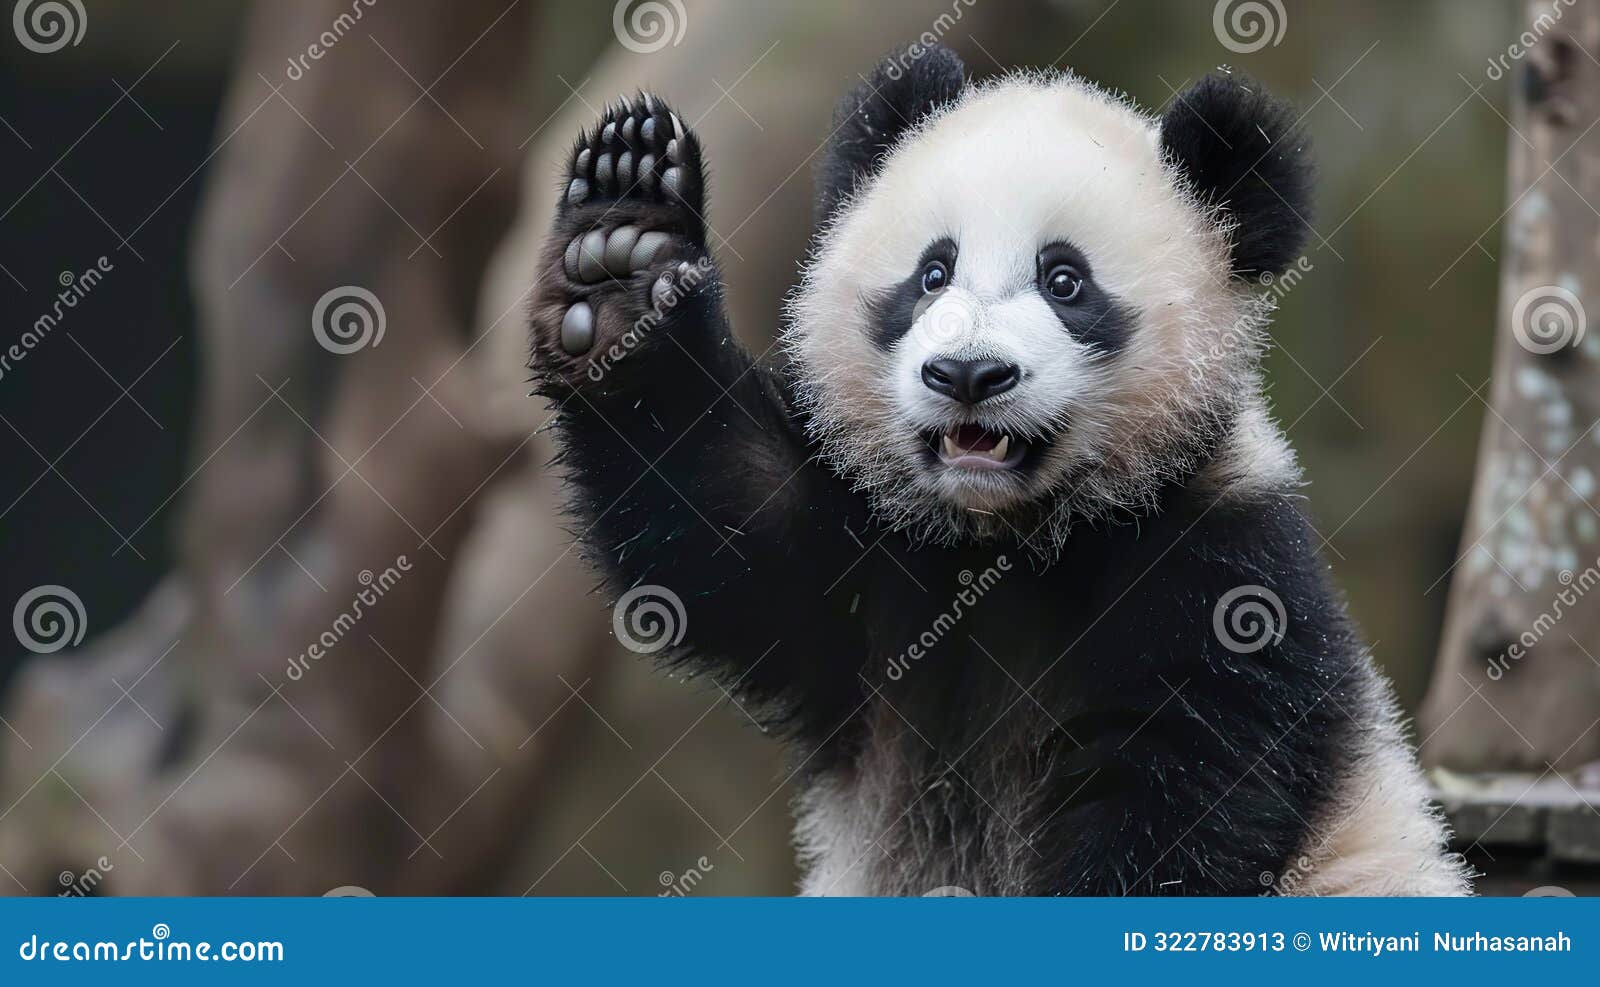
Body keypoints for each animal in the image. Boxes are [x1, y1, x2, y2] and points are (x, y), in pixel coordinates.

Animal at [528, 43, 1472, 896]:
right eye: (932, 272)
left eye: (1066, 281)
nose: (968, 374)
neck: (1007, 537)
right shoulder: (864, 560)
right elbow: (723, 514)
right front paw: (620, 259)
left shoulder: (1224, 574)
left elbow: (1176, 802)